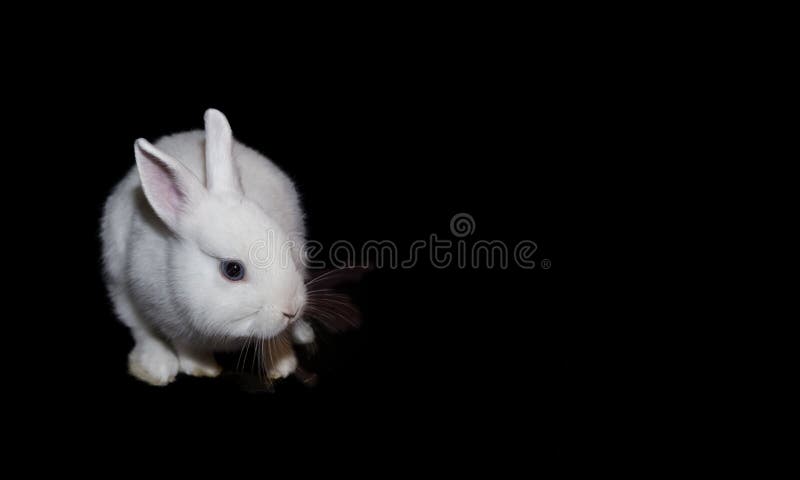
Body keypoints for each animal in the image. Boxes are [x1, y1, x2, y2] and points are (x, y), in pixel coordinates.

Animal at [101, 109, 315, 386]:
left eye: (285, 246)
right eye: (233, 270)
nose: (291, 309)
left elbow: (278, 338)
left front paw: (283, 365)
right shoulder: (170, 318)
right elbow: (186, 345)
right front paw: (201, 368)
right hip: (120, 288)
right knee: (140, 328)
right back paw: (156, 367)